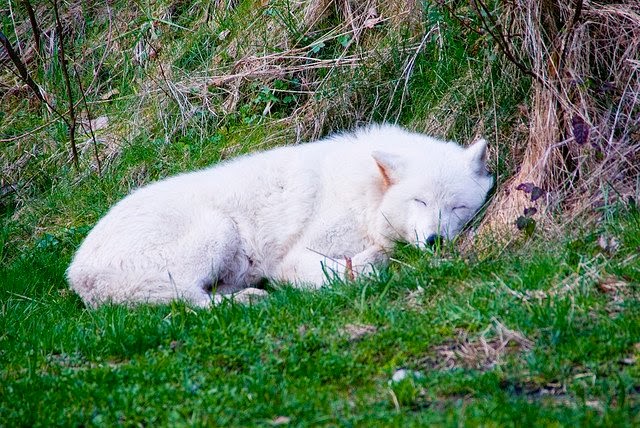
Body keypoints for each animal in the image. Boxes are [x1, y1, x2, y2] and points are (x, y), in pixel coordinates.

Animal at [67, 124, 493, 307]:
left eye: (457, 207)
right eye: (419, 202)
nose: (435, 241)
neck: (366, 192)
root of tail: (76, 271)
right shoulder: (290, 258)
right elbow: (337, 272)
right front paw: (370, 264)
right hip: (219, 229)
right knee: (190, 300)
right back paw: (249, 300)